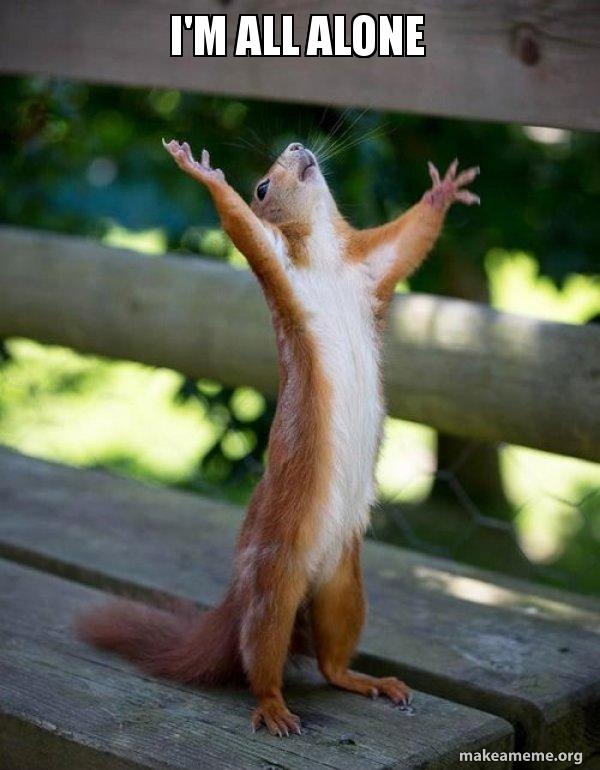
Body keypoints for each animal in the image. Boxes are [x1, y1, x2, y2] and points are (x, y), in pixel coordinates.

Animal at [78, 138, 479, 737]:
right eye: (262, 186)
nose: (296, 146)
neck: (327, 258)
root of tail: (239, 596)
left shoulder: (371, 267)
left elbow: (408, 241)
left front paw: (443, 191)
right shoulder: (277, 265)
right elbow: (241, 227)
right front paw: (204, 174)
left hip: (344, 586)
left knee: (332, 660)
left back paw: (367, 681)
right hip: (274, 583)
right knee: (260, 657)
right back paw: (273, 707)